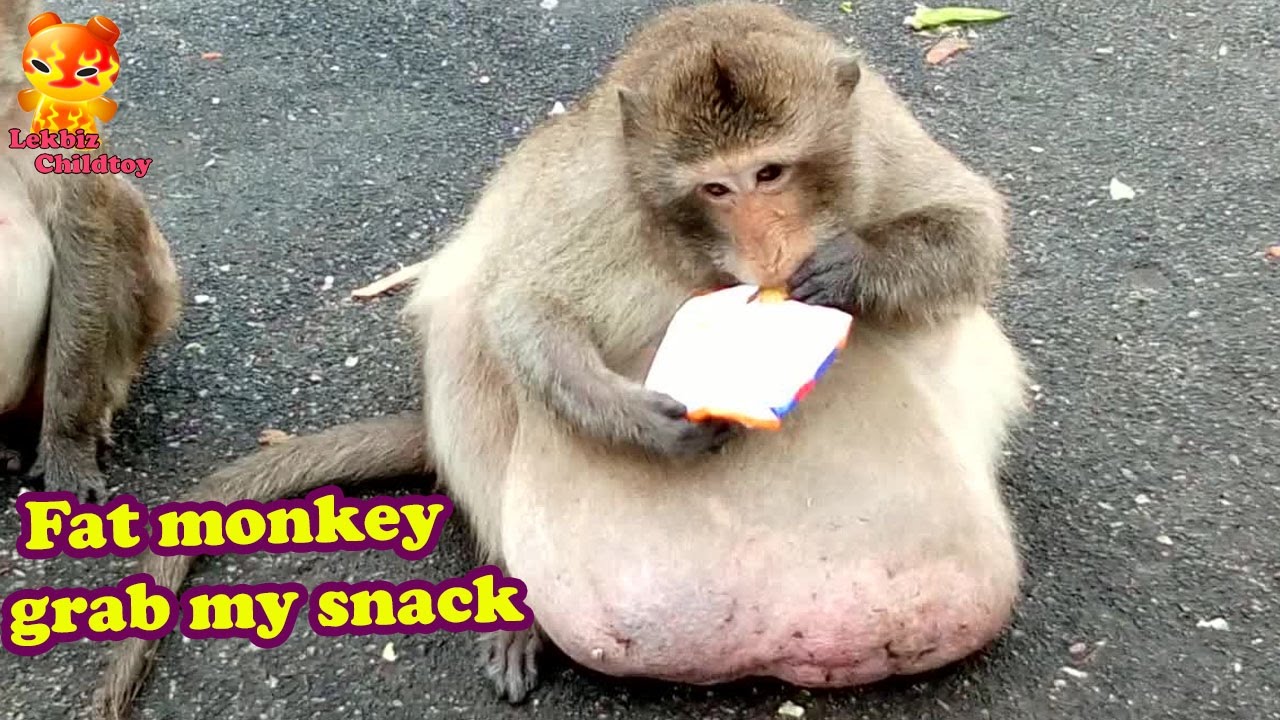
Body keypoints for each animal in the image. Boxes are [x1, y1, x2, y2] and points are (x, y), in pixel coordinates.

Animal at [93, 2, 1027, 717]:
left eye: (772, 171)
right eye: (716, 188)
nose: (767, 244)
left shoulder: (879, 135)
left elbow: (972, 228)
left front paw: (850, 268)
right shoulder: (600, 194)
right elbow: (520, 307)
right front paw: (644, 424)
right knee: (465, 321)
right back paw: (514, 592)